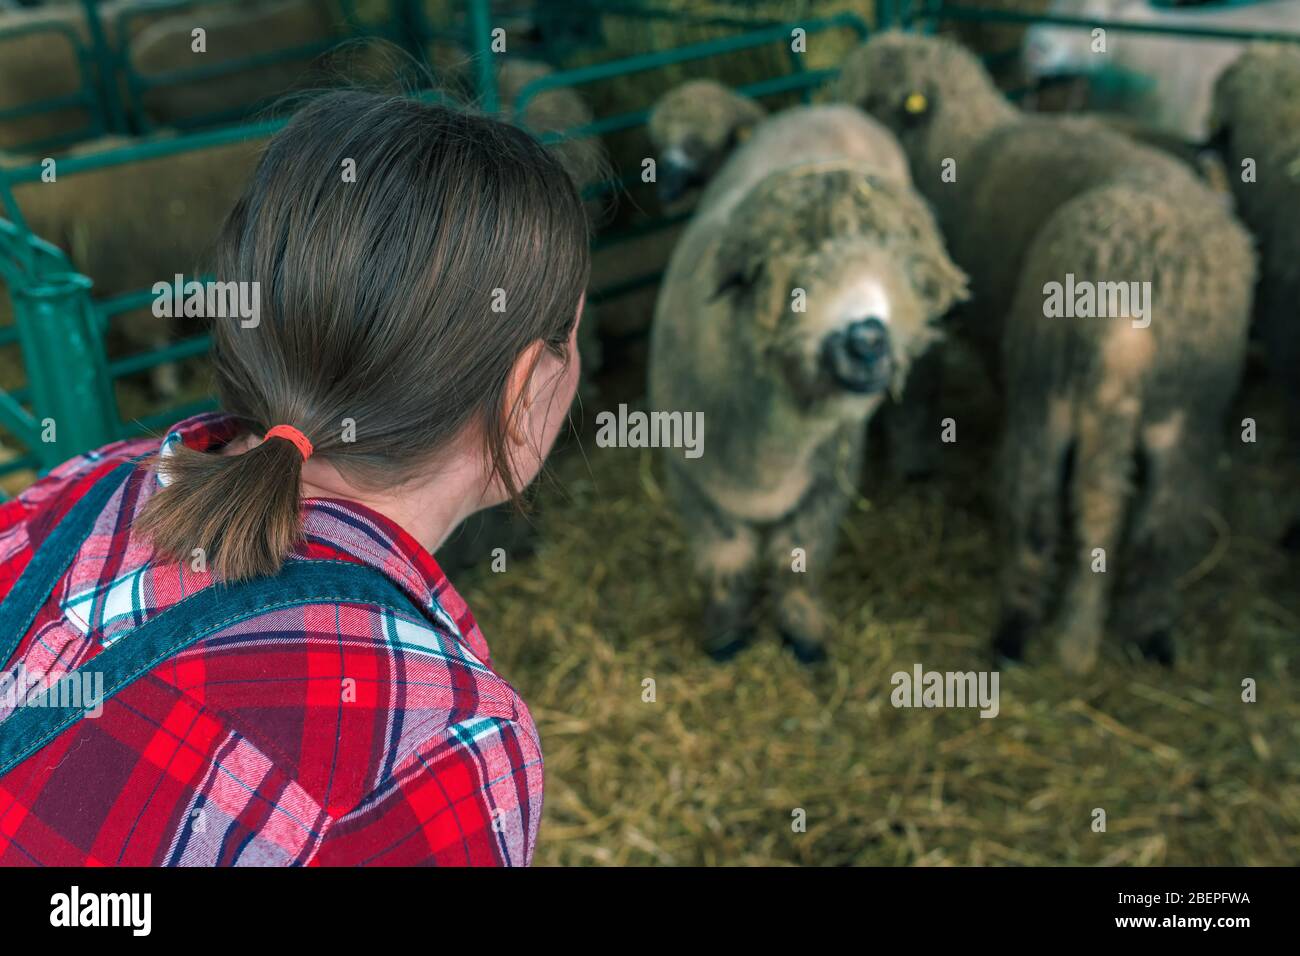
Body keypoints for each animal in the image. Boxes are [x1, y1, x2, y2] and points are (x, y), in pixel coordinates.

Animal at [648, 103, 967, 661]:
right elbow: (726, 560)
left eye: (905, 274)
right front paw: (726, 633)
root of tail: (830, 108)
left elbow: (795, 562)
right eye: (787, 279)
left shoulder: (826, 484)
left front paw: (802, 633)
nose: (869, 338)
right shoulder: (691, 484)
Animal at [834, 32, 1257, 673]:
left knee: (1036, 511)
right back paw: (1151, 635)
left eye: (865, 99)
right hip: (1191, 409)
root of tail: (1133, 293)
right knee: (1164, 523)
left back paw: (1016, 632)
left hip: (1046, 386)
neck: (959, 141)